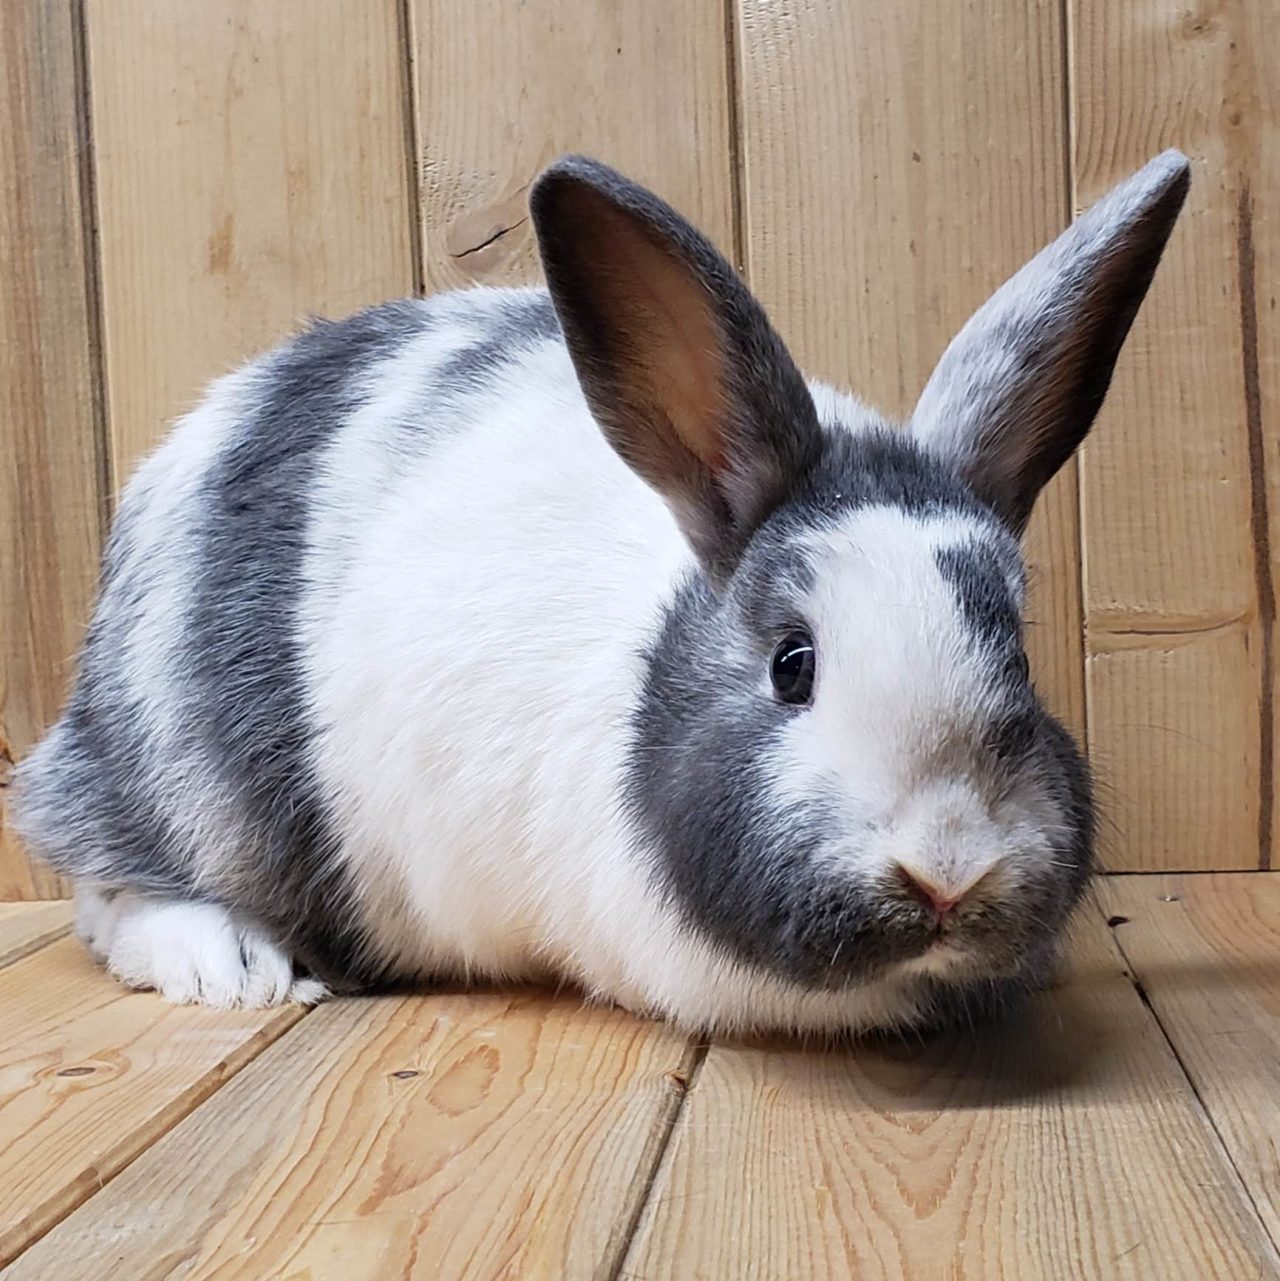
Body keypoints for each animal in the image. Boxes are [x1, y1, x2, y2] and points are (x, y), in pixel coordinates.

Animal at [13, 150, 1190, 1035]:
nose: (946, 871)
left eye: (1019, 656)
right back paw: (234, 968)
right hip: (181, 775)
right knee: (107, 887)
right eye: (792, 665)